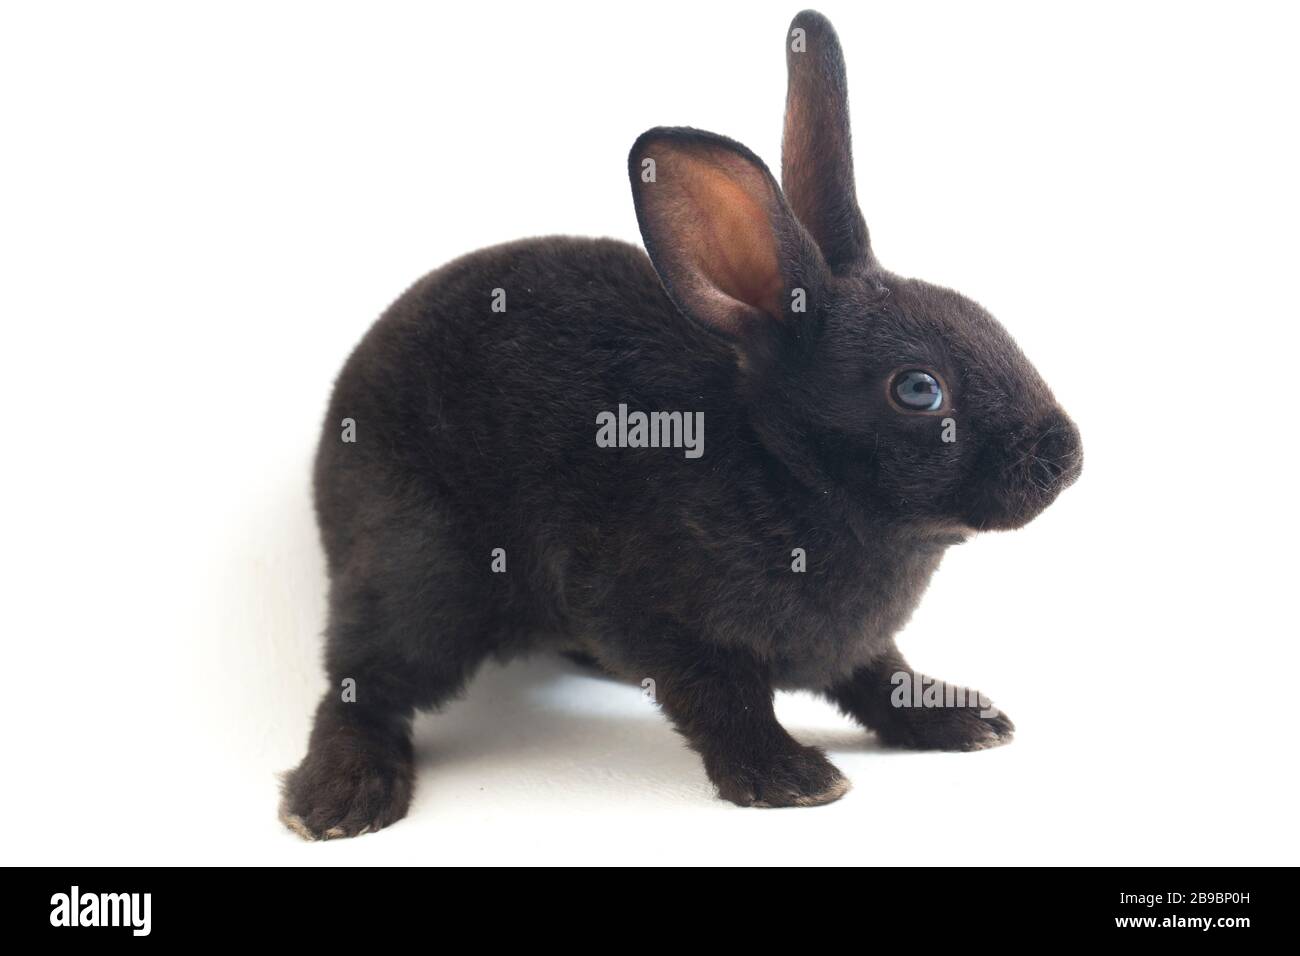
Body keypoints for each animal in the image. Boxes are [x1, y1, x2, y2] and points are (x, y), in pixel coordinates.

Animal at [280, 9, 1082, 840]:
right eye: (919, 390)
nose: (1065, 455)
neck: (785, 468)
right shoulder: (666, 626)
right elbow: (724, 705)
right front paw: (791, 779)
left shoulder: (858, 646)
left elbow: (882, 680)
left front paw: (963, 720)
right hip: (420, 573)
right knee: (361, 687)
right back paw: (339, 800)